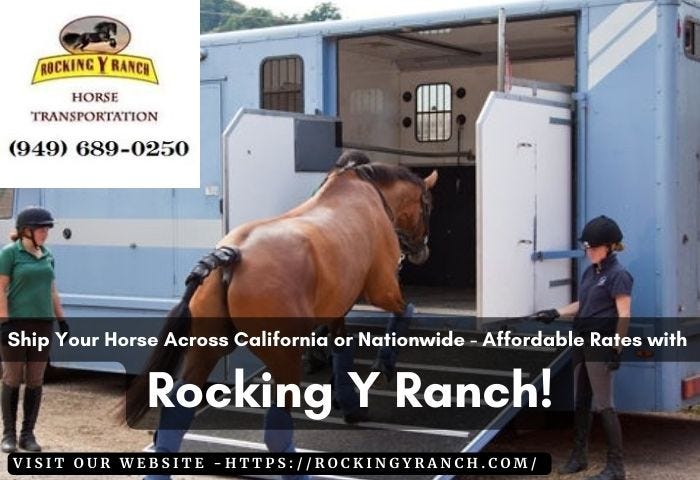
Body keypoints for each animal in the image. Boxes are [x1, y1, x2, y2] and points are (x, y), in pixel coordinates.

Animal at [123, 153, 437, 480]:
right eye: (427, 205)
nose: (422, 252)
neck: (365, 190)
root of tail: (230, 255)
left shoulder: (337, 308)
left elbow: (342, 350)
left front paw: (349, 403)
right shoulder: (382, 289)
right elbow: (404, 310)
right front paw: (384, 364)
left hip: (206, 351)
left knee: (178, 411)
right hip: (284, 357)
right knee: (276, 432)